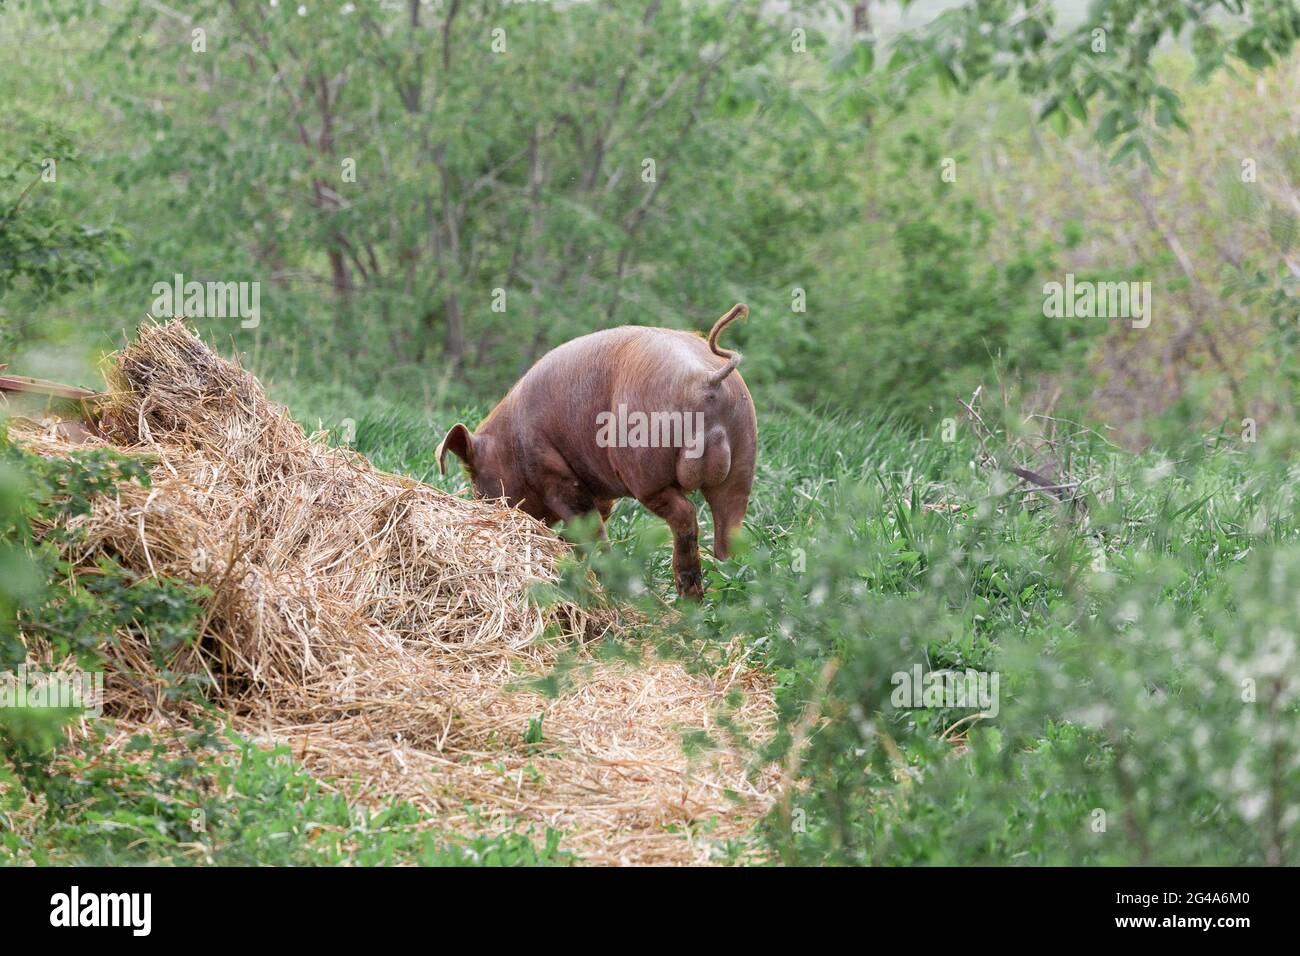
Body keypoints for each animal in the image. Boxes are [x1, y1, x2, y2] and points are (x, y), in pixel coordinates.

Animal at [437, 304, 756, 600]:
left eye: (476, 481)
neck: (512, 445)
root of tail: (706, 379)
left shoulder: (554, 473)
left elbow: (587, 527)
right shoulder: (598, 490)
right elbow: (587, 525)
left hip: (645, 468)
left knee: (685, 513)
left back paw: (686, 594)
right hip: (742, 460)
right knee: (730, 527)